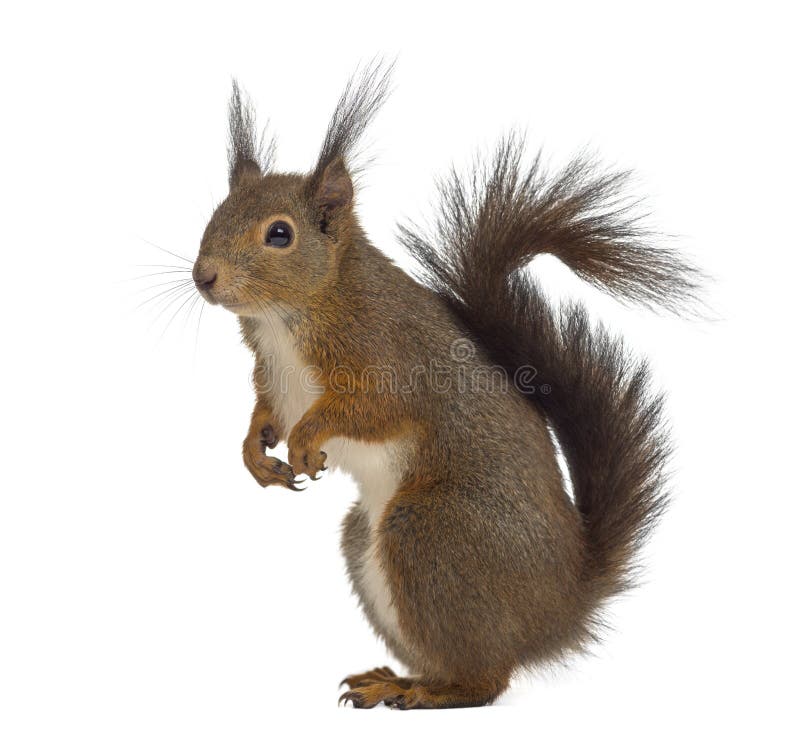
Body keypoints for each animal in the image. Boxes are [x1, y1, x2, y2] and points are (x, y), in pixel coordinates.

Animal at [190, 62, 700, 710]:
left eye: (279, 234)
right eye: (216, 212)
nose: (203, 277)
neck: (289, 318)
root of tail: (559, 612)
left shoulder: (392, 359)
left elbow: (370, 410)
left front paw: (307, 439)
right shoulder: (272, 377)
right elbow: (265, 411)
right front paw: (256, 452)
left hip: (430, 533)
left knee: (488, 681)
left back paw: (427, 695)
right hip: (371, 543)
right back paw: (397, 680)